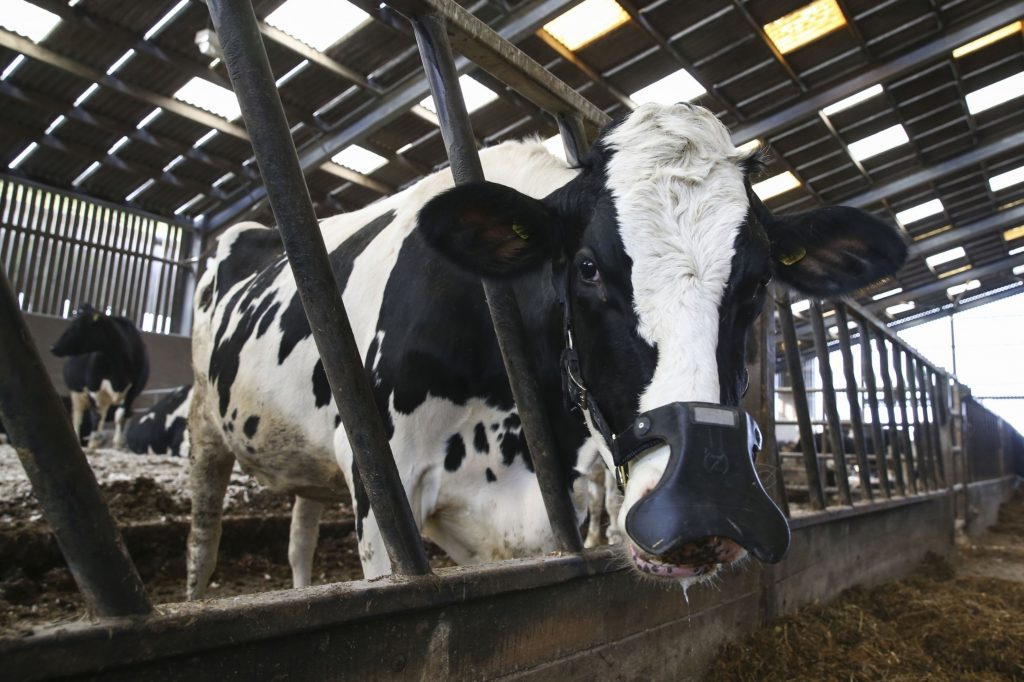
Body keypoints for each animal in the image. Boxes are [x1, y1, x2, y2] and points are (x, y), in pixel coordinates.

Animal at [51, 304, 150, 451]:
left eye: (78, 325)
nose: (53, 347)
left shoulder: (132, 391)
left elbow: (120, 415)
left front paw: (118, 443)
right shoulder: (93, 388)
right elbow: (96, 416)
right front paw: (94, 442)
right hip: (76, 393)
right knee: (78, 417)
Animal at [187, 103, 906, 599]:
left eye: (757, 283)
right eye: (586, 267)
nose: (705, 507)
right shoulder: (381, 470)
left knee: (300, 535)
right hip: (204, 424)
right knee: (205, 534)